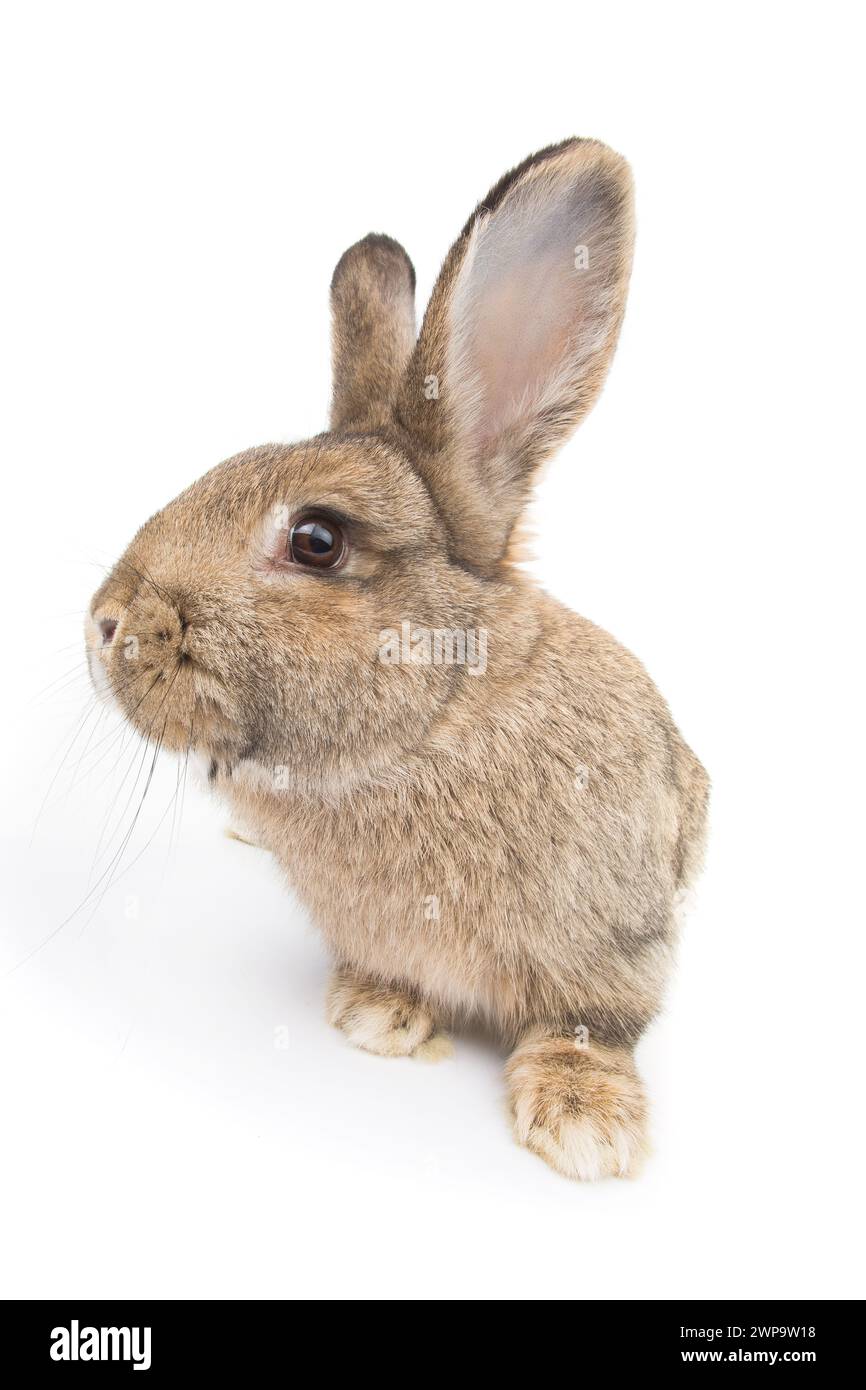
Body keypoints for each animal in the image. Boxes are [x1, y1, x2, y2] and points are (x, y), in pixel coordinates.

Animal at [86, 138, 709, 1182]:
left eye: (317, 540)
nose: (106, 625)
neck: (431, 728)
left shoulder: (618, 945)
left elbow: (590, 1026)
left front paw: (586, 1125)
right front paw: (378, 1014)